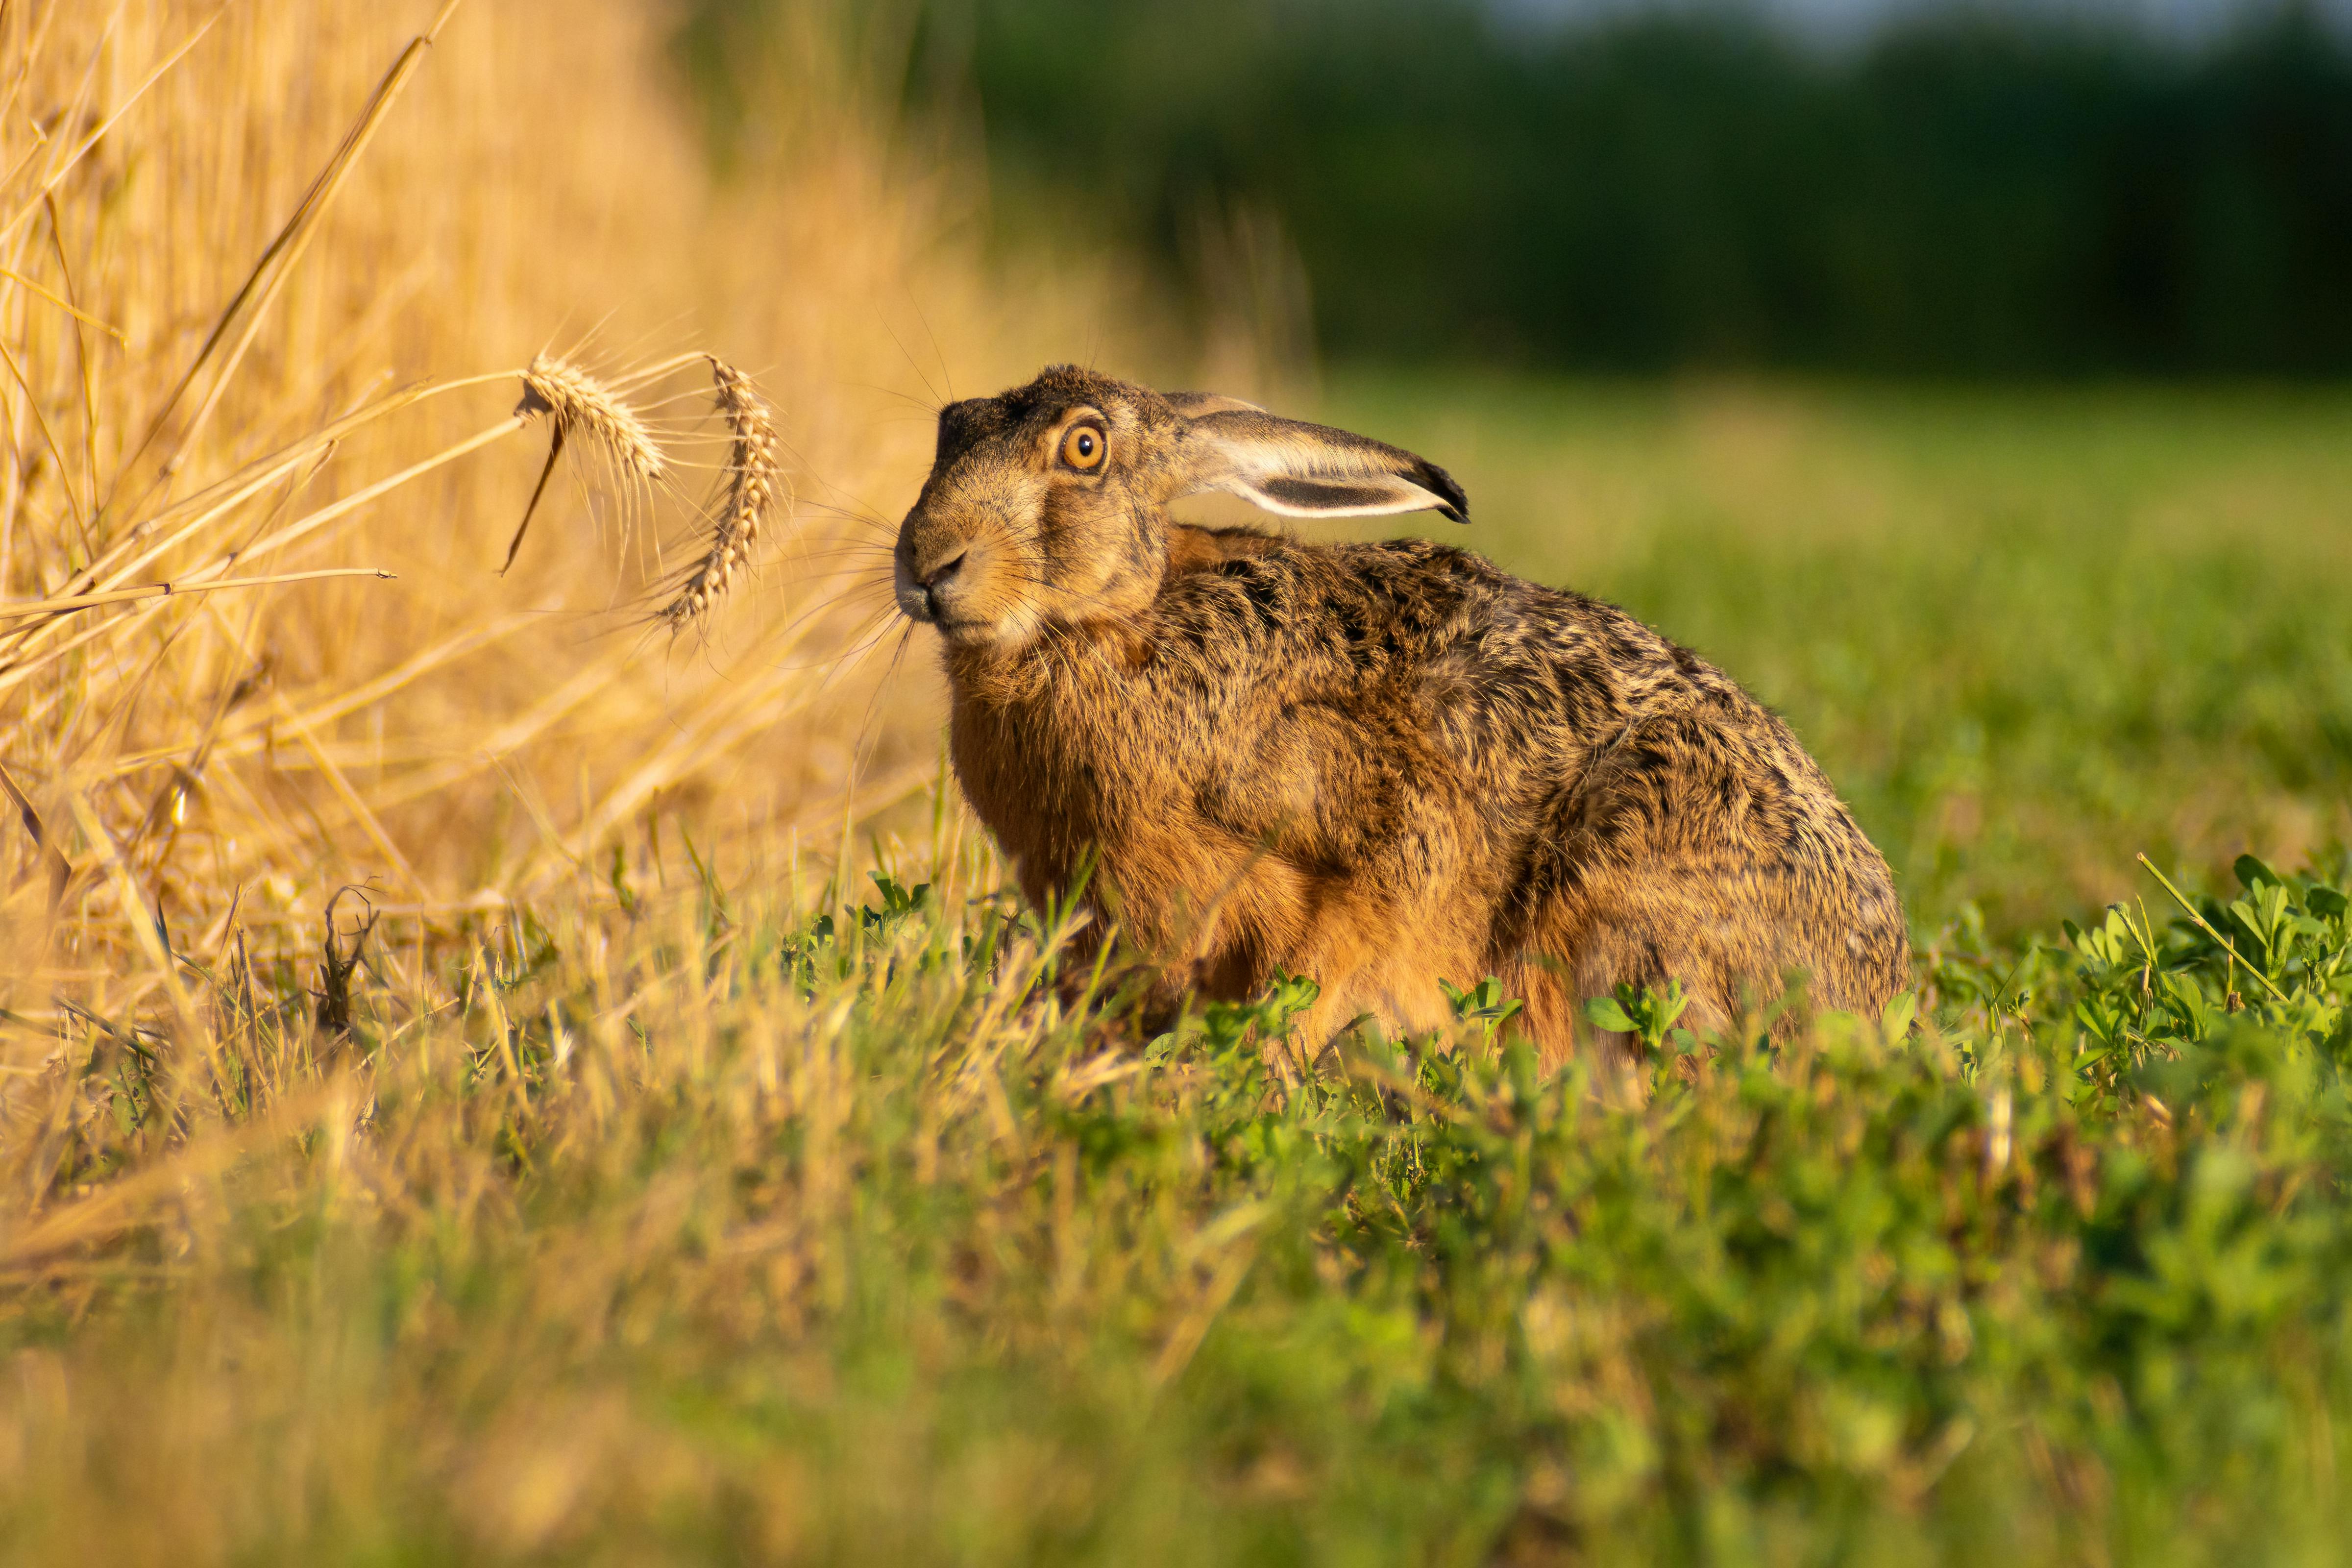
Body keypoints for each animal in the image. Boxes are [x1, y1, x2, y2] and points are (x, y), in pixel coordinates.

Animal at [892, 364, 1910, 1062]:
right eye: (948, 428)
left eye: (1085, 449)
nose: (928, 563)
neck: (1122, 622)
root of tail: (1870, 997)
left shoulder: (1380, 818)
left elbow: (1338, 946)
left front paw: (1262, 1063)